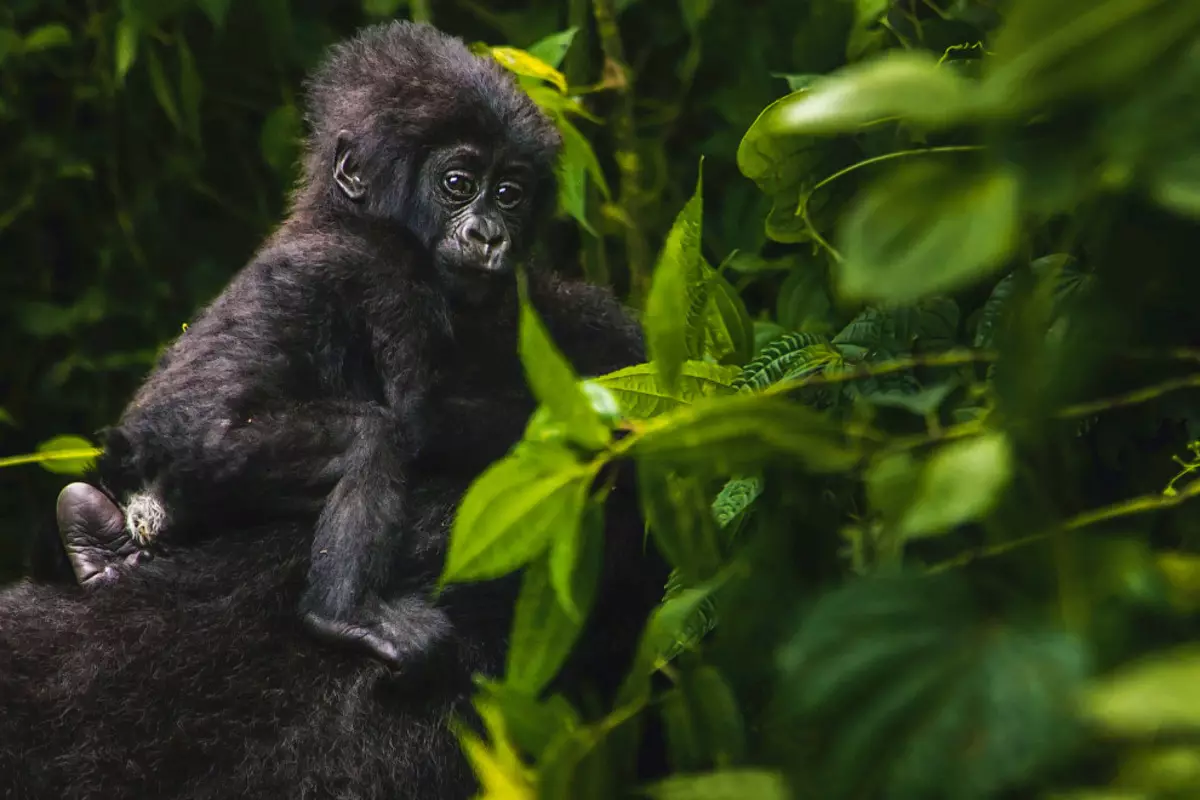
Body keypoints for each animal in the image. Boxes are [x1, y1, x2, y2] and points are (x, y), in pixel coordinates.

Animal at [58, 20, 648, 671]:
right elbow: (420, 412)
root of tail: (135, 466)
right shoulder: (391, 270)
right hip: (210, 455)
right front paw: (603, 419)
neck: (339, 209)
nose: (489, 236)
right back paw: (342, 616)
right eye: (458, 185)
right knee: (371, 439)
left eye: (510, 194)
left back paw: (97, 547)